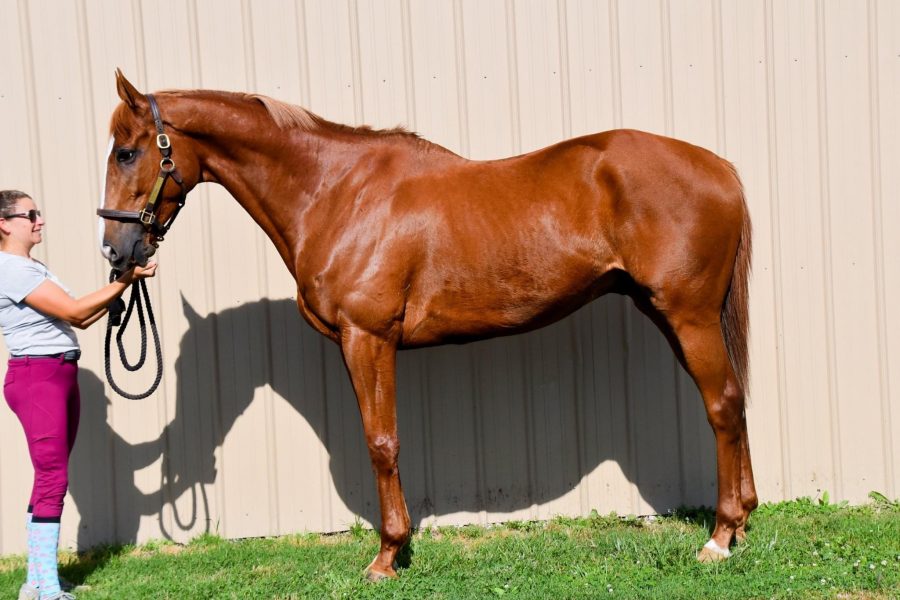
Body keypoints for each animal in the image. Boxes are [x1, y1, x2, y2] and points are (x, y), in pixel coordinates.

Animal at [98, 69, 756, 579]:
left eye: (127, 152)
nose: (116, 250)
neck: (336, 192)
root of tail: (720, 167)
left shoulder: (368, 339)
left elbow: (381, 441)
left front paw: (388, 556)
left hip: (689, 316)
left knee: (722, 405)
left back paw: (719, 539)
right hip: (666, 313)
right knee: (735, 402)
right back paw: (743, 521)